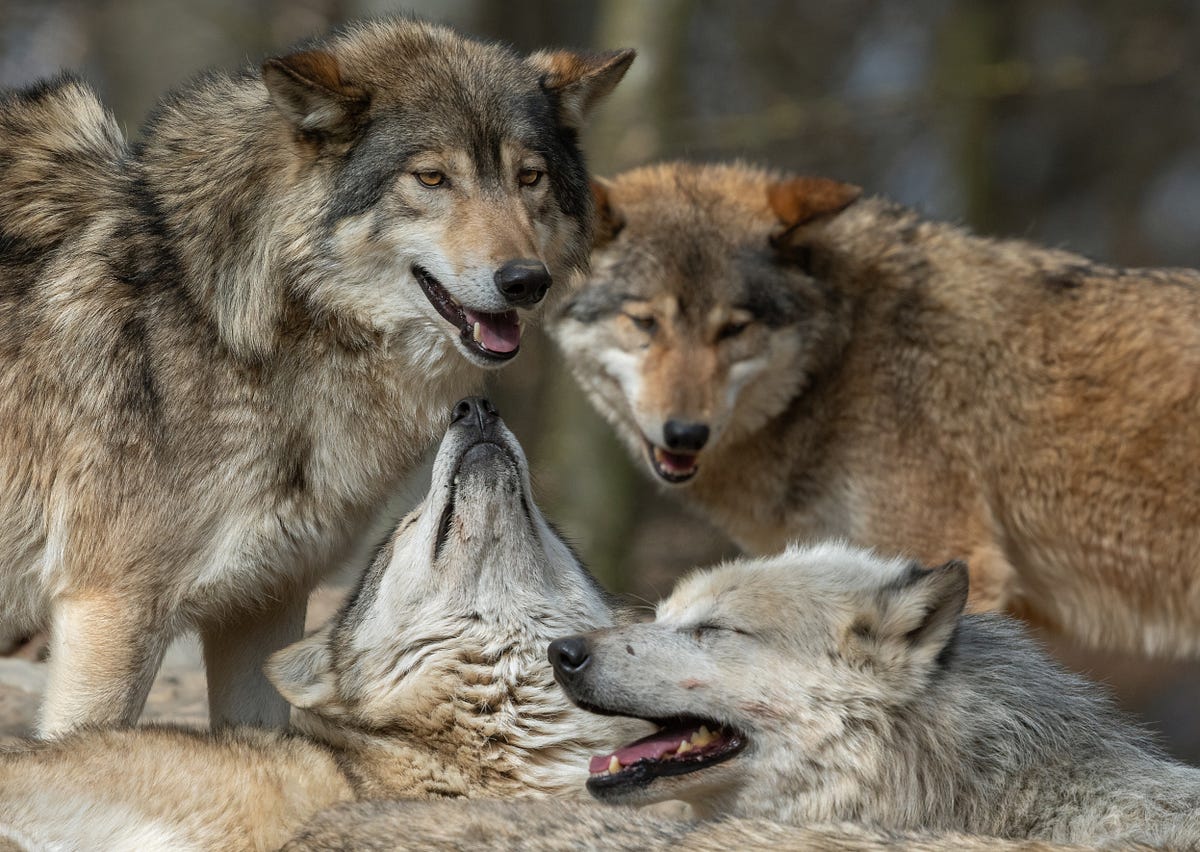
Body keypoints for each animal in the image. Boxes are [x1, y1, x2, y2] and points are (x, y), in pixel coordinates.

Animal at [0, 18, 632, 734]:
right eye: (432, 177)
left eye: (530, 177)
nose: (525, 281)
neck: (231, 320)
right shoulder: (112, 607)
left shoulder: (262, 603)